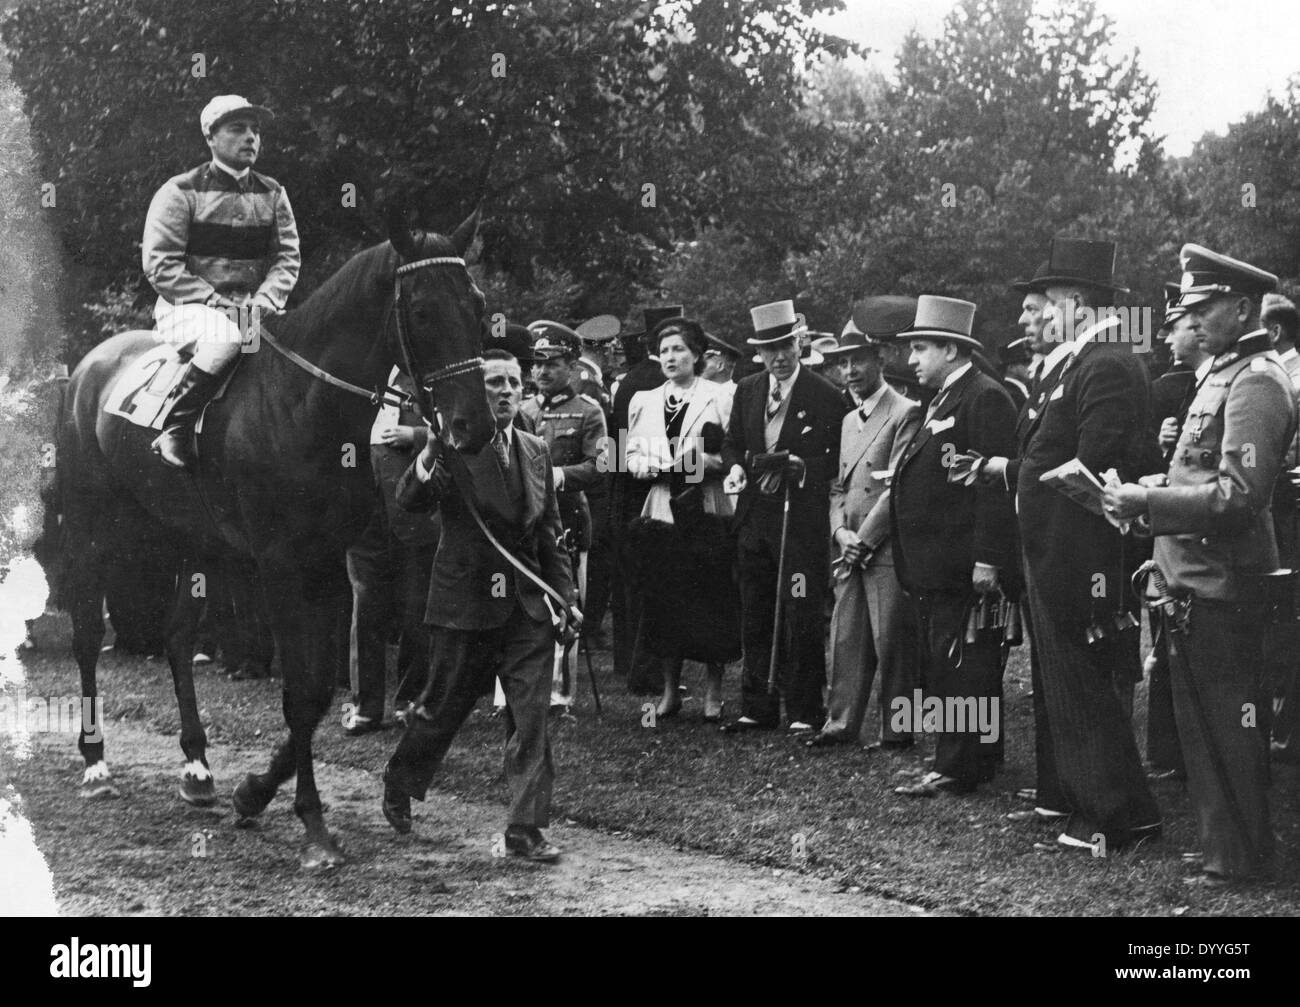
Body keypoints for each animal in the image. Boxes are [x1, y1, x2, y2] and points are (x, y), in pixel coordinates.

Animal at [48, 206, 493, 867]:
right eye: (420, 310)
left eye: (477, 303)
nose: (474, 425)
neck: (303, 406)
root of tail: (91, 364)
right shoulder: (281, 567)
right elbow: (300, 695)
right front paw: (312, 827)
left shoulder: (328, 565)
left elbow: (319, 694)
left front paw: (254, 792)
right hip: (94, 527)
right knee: (83, 635)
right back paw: (96, 765)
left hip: (189, 536)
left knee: (177, 639)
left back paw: (197, 768)